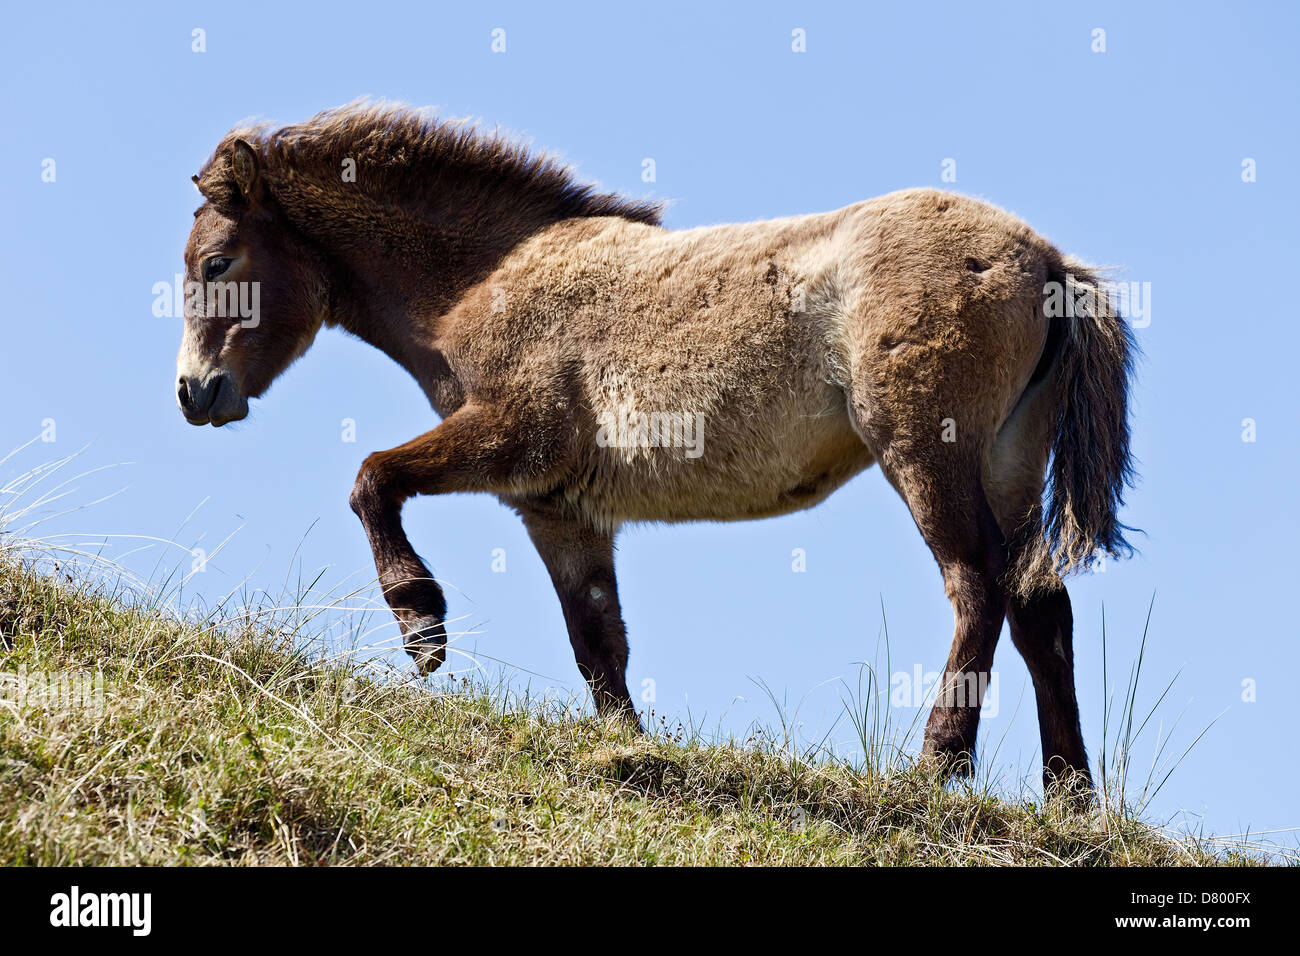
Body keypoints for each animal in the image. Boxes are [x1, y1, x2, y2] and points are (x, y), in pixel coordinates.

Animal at [175, 102, 1135, 796]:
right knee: (1040, 609)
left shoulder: (510, 438)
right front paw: (628, 753)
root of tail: (1048, 261)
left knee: (976, 586)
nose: (193, 393)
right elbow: (598, 643)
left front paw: (422, 623)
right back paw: (1070, 797)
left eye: (219, 262)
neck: (483, 284)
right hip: (1008, 465)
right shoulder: (558, 511)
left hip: (926, 455)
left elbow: (372, 478)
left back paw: (938, 764)